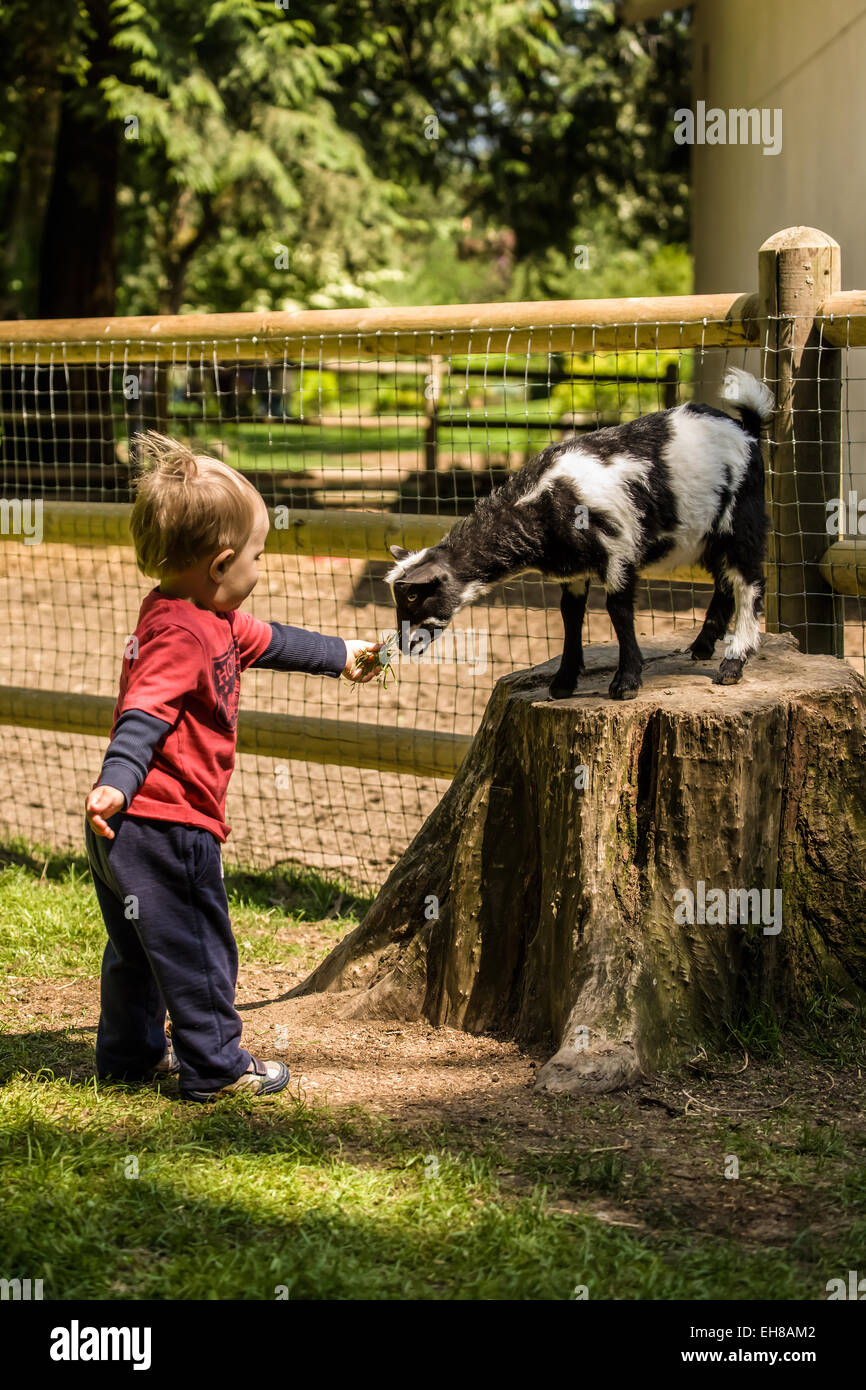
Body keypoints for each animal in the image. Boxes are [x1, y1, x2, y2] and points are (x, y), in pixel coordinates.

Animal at [386, 368, 773, 700]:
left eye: (413, 596)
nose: (403, 646)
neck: (539, 503)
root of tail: (747, 429)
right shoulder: (573, 570)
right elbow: (570, 616)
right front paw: (563, 683)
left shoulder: (617, 550)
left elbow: (618, 611)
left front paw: (625, 683)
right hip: (706, 535)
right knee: (724, 583)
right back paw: (702, 647)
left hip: (742, 518)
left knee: (749, 582)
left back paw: (733, 663)